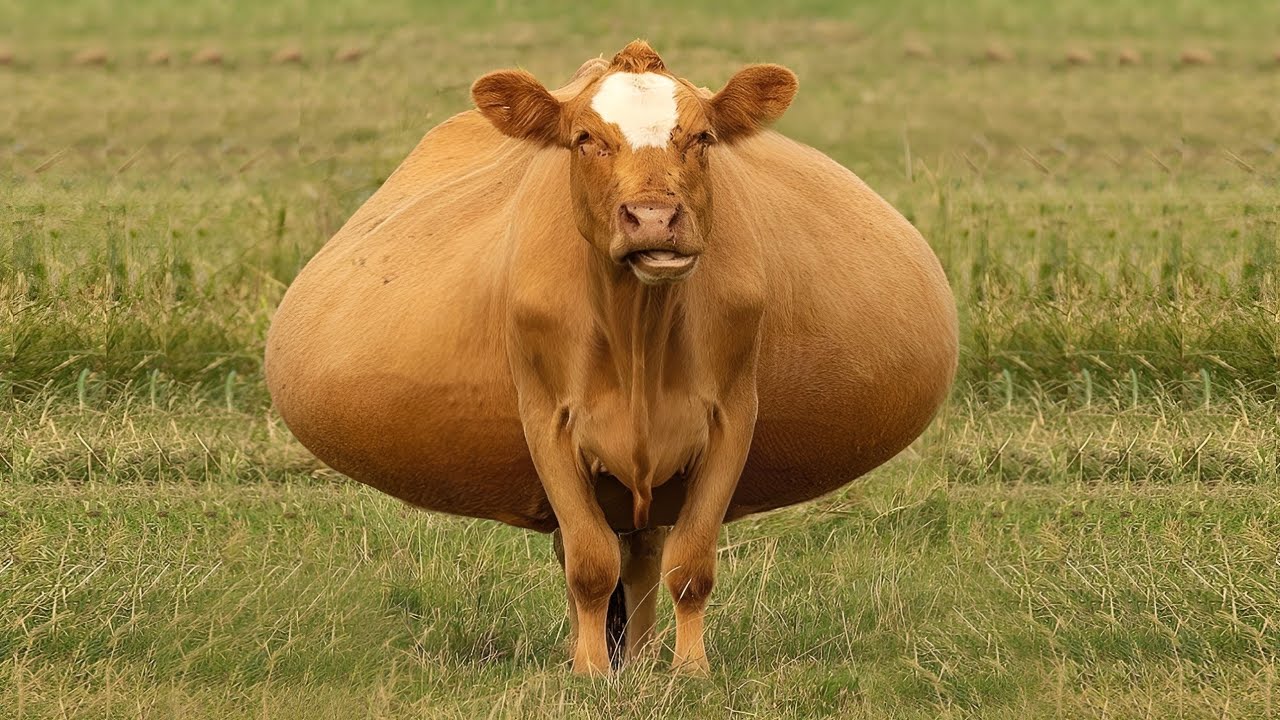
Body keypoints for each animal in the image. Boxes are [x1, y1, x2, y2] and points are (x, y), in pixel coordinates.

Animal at [264, 40, 958, 676]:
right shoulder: (547, 420)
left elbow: (691, 563)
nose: (653, 217)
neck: (638, 335)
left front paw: (689, 671)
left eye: (702, 137)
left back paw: (644, 659)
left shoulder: (732, 415)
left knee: (646, 553)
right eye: (585, 139)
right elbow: (590, 564)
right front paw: (591, 671)